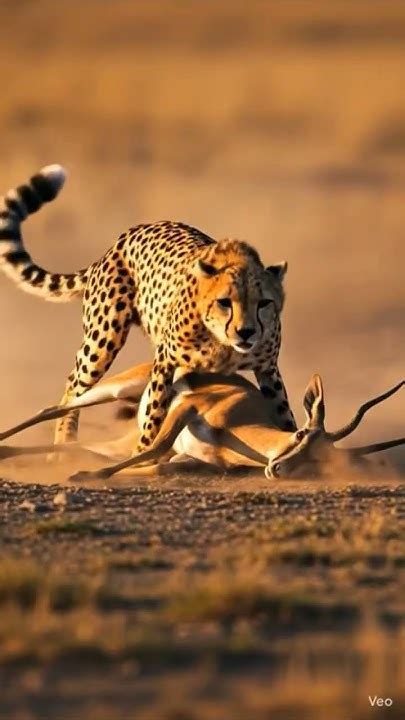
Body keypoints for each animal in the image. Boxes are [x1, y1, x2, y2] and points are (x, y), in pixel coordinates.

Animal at [0, 164, 296, 452]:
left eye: (264, 303)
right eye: (224, 302)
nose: (245, 333)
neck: (223, 345)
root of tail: (117, 243)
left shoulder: (267, 370)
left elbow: (284, 413)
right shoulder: (165, 360)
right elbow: (153, 417)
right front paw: (142, 451)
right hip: (102, 341)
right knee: (74, 386)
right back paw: (65, 440)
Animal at [0, 362, 403, 483]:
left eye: (321, 460)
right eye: (300, 433)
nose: (277, 468)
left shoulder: (190, 459)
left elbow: (158, 464)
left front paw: (88, 473)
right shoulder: (191, 409)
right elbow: (157, 448)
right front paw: (83, 476)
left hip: (120, 436)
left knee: (79, 444)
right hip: (119, 388)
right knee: (53, 409)